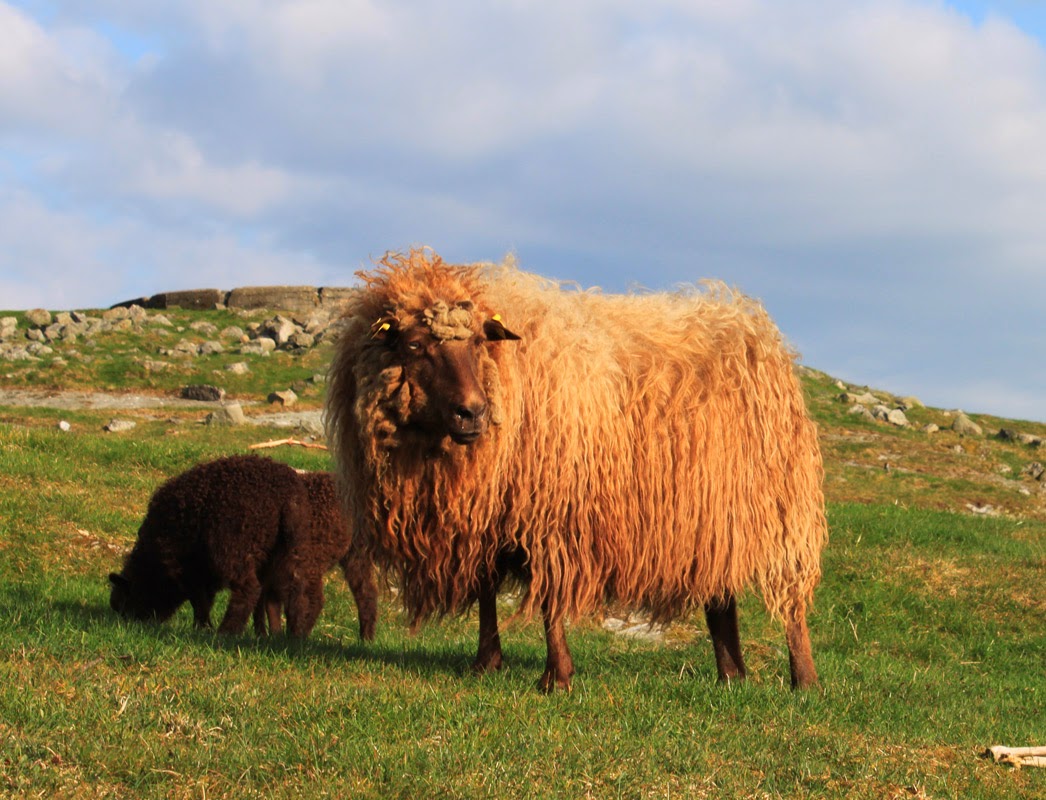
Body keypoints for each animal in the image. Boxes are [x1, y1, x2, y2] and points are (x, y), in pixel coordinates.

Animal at [109, 455, 322, 637]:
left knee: (249, 589)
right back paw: (295, 634)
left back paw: (227, 631)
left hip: (233, 547)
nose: (129, 624)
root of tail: (286, 497)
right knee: (297, 588)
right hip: (292, 546)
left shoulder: (187, 569)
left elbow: (199, 600)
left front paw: (202, 628)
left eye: (125, 603)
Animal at [254, 470, 378, 642]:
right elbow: (268, 601)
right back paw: (366, 638)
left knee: (313, 599)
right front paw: (271, 635)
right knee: (366, 591)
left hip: (320, 554)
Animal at [325, 248, 827, 692]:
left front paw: (557, 678)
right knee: (720, 596)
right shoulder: (489, 516)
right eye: (413, 346)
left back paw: (803, 680)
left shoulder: (552, 513)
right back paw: (731, 675)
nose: (474, 413)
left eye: (478, 343)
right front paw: (487, 662)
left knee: (791, 601)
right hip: (713, 518)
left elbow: (550, 600)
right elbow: (487, 591)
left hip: (784, 507)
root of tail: (750, 320)